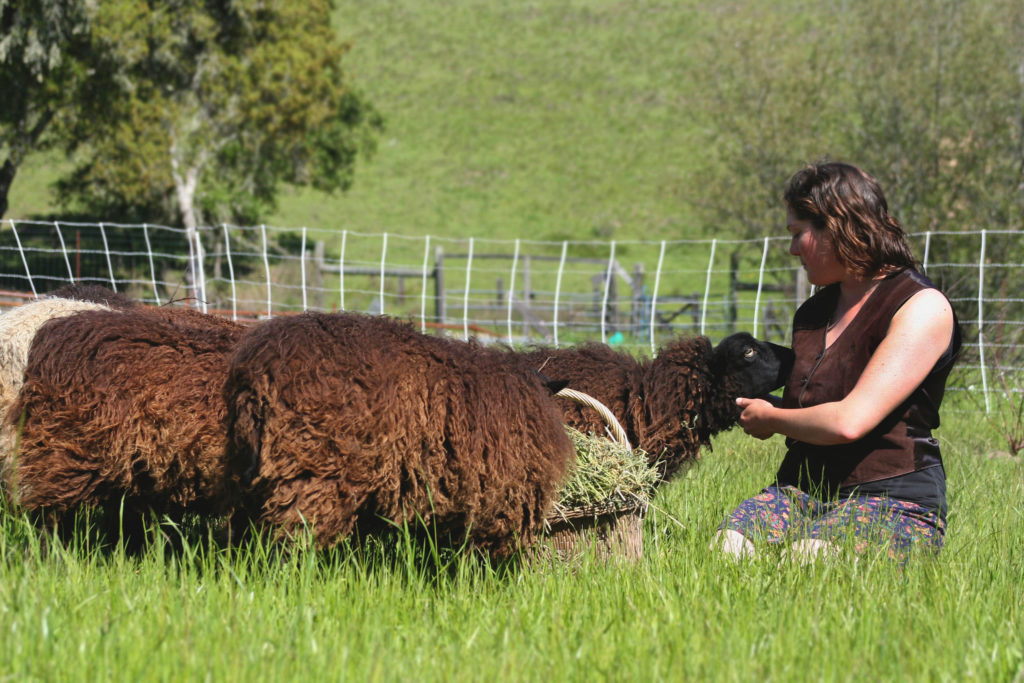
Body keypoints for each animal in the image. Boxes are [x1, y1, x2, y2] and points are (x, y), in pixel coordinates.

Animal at [224, 312, 575, 556]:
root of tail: (261, 365)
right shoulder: (499, 501)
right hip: (313, 472)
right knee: (291, 541)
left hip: (254, 470)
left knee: (246, 533)